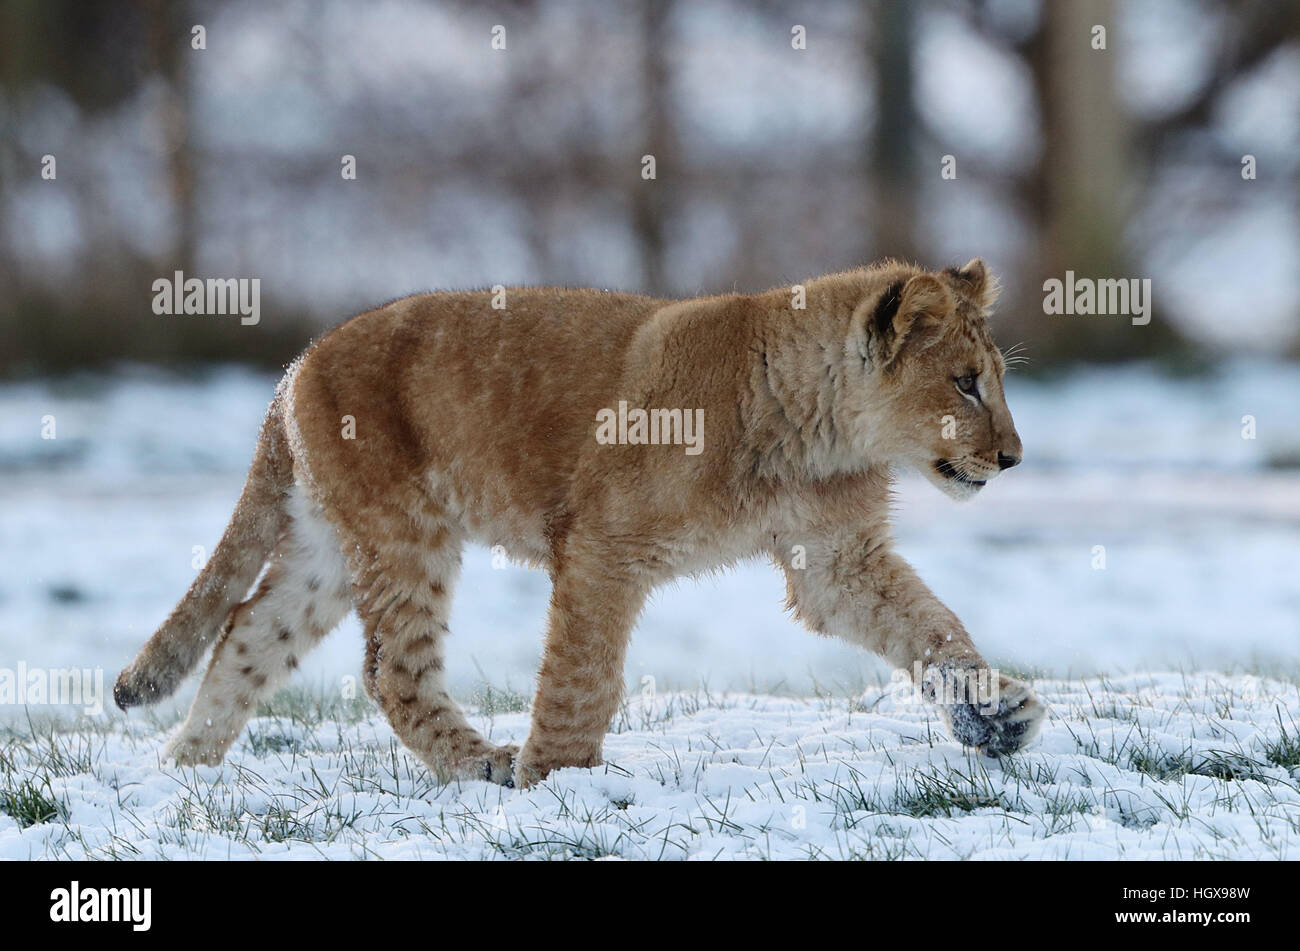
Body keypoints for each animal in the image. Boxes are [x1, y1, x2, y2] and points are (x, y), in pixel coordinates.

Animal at [114, 257, 1045, 787]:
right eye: (965, 382)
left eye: (993, 378)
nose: (1012, 457)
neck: (815, 433)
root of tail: (293, 369)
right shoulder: (600, 546)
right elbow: (582, 673)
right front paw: (558, 780)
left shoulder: (838, 559)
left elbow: (930, 626)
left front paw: (994, 714)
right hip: (404, 530)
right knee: (390, 672)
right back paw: (485, 764)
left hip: (333, 547)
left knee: (247, 628)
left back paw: (185, 771)